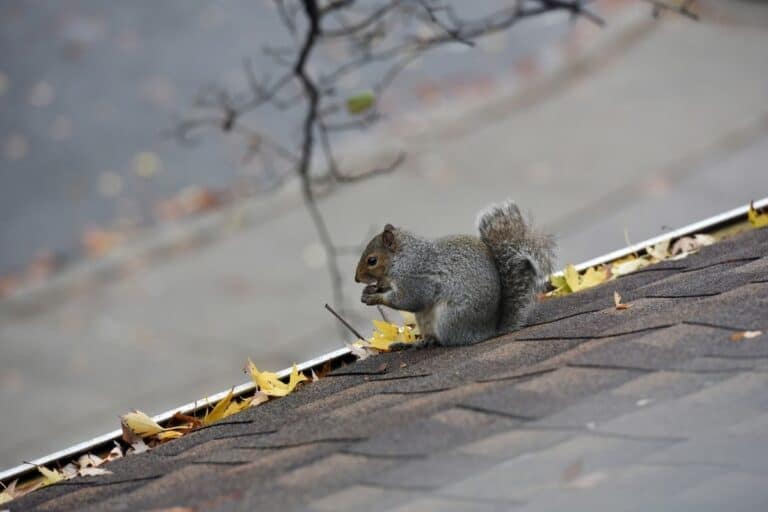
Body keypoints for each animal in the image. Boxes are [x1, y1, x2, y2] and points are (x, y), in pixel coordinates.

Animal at [354, 200, 554, 348]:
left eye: (372, 260)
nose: (357, 279)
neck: (402, 259)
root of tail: (487, 330)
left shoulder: (415, 277)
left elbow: (410, 300)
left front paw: (375, 298)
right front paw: (371, 290)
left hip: (449, 318)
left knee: (448, 340)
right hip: (425, 320)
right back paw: (418, 342)